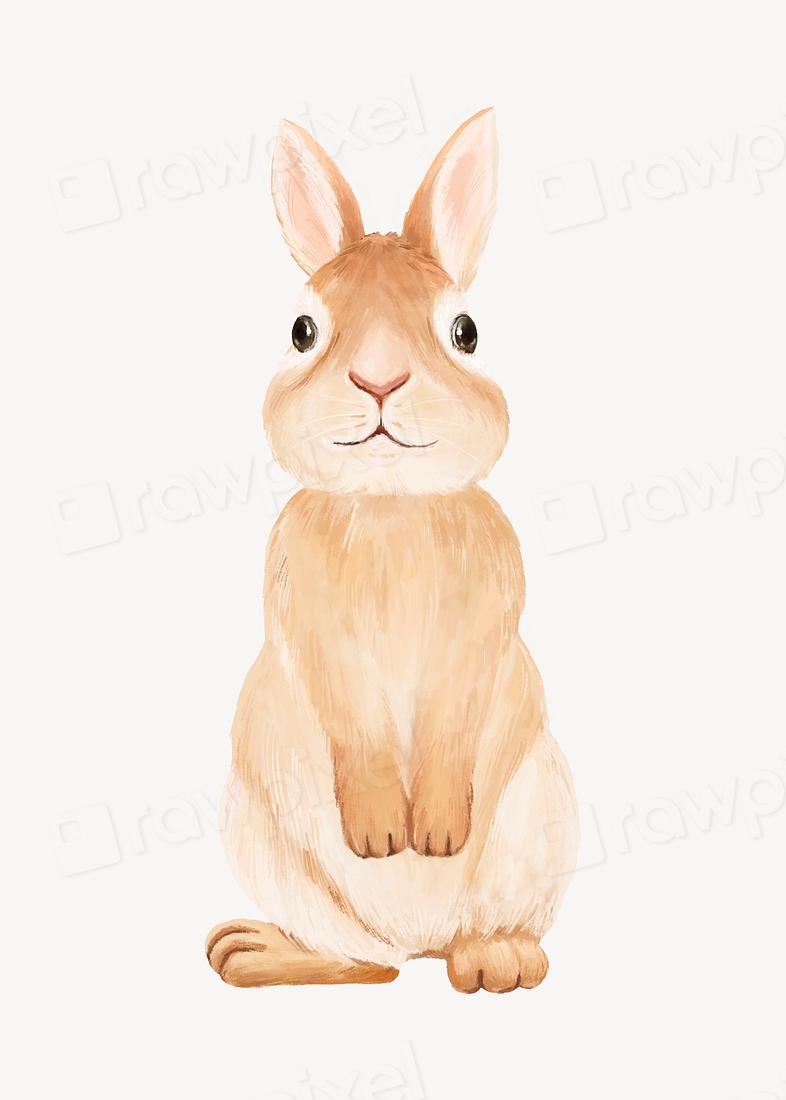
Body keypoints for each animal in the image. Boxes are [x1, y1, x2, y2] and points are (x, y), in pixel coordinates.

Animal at [205, 108, 579, 994]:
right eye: (301, 330)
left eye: (466, 332)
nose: (379, 381)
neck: (388, 510)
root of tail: (421, 940)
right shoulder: (310, 629)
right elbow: (357, 726)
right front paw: (382, 834)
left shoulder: (485, 627)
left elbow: (451, 726)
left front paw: (434, 832)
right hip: (264, 841)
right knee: (364, 959)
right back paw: (256, 952)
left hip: (539, 816)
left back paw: (499, 960)